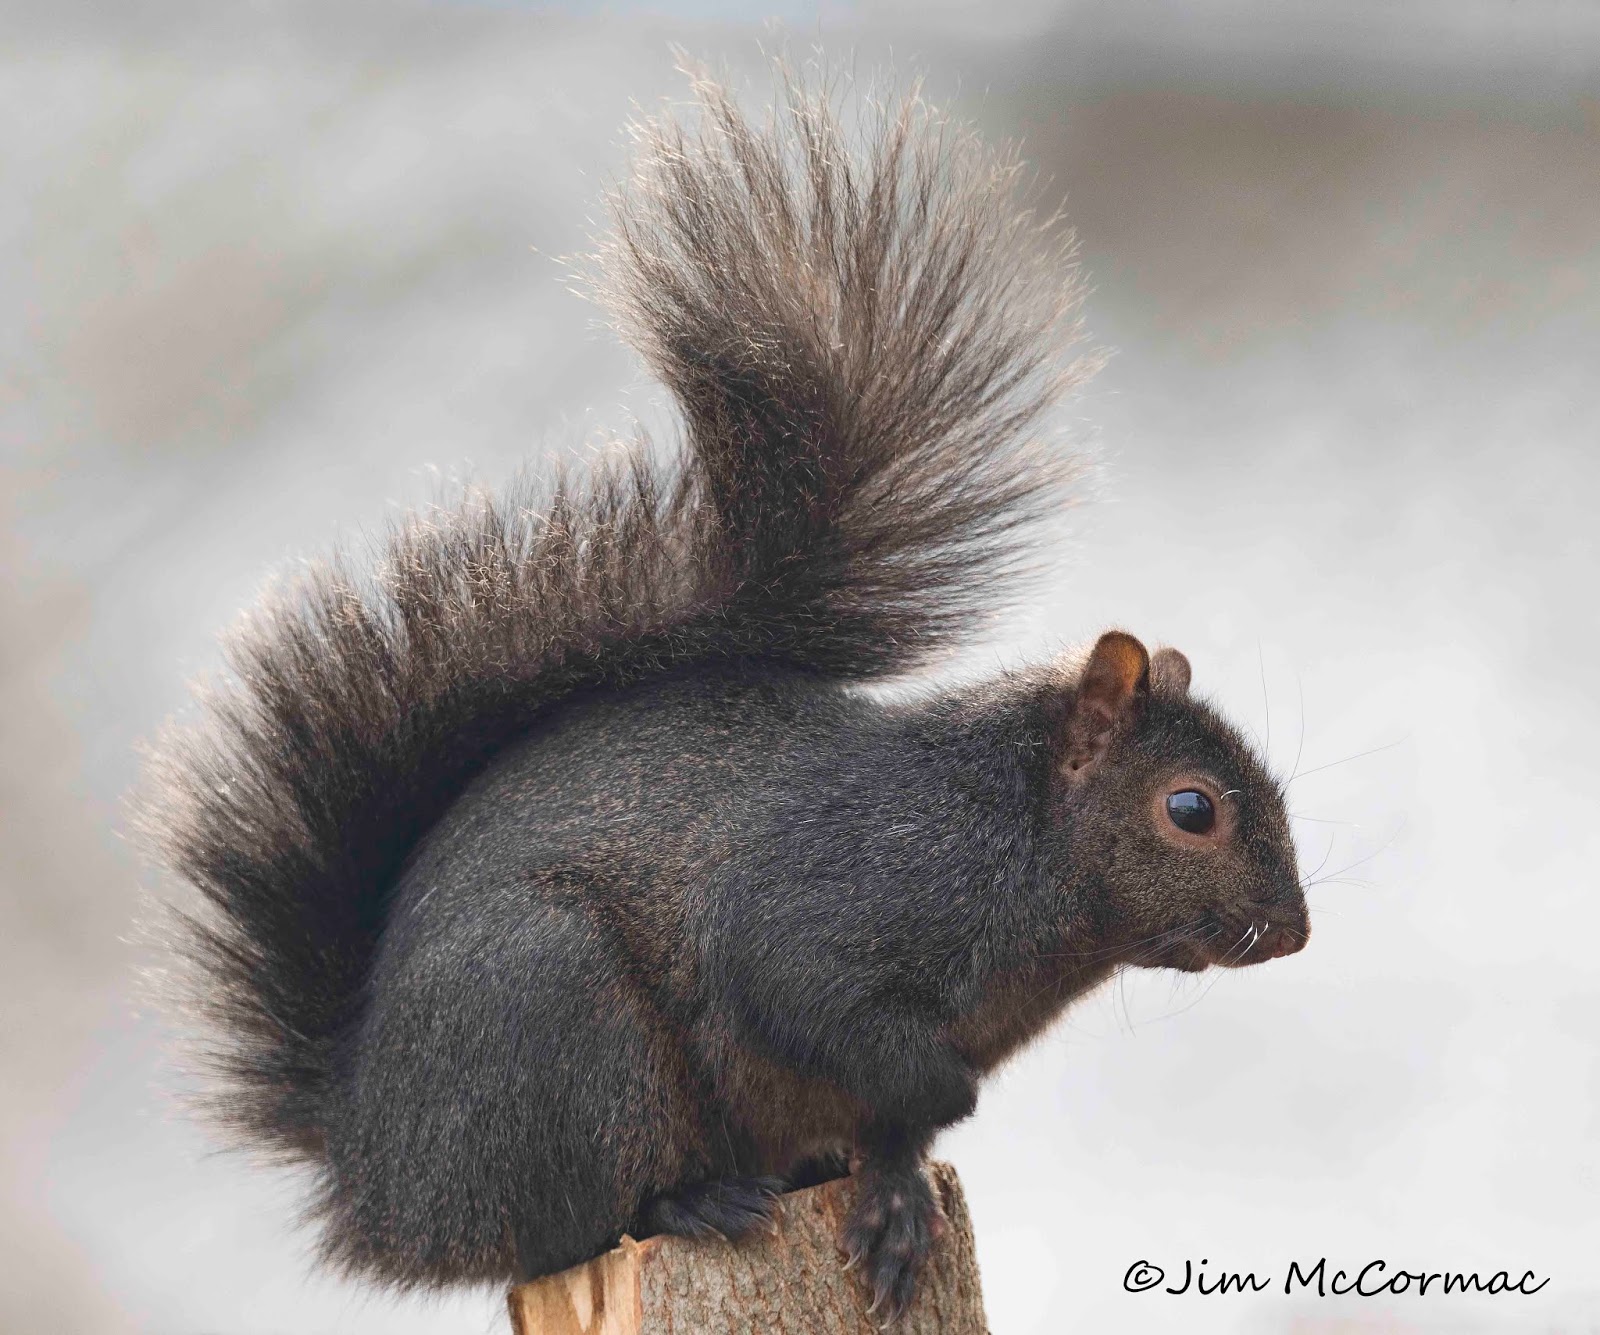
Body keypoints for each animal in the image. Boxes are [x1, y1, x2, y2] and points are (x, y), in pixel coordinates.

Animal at [141, 66, 1310, 1323]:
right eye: (1190, 809)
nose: (1293, 932)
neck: (1018, 843)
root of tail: (372, 1179)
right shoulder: (833, 901)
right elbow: (810, 1000)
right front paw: (937, 1106)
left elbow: (889, 1136)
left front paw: (894, 1195)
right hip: (561, 1026)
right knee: (570, 1222)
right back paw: (696, 1201)